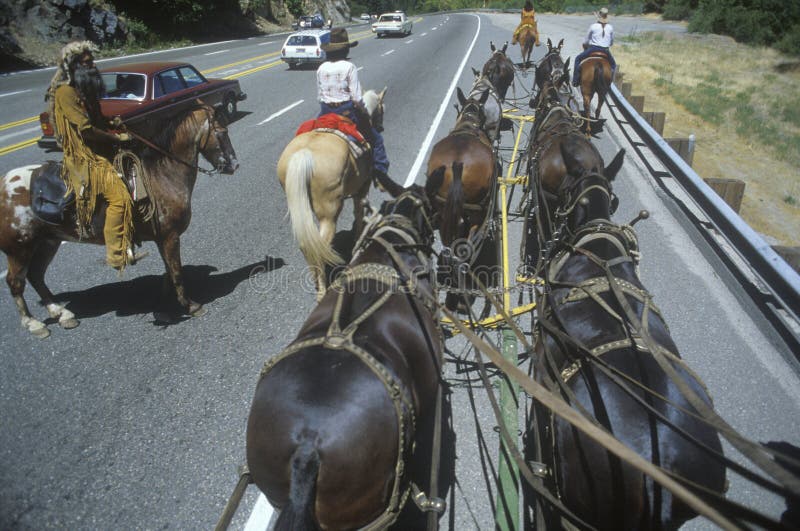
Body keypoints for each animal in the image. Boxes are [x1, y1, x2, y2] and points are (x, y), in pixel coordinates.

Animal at [0, 103, 238, 338]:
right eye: (222, 131)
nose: (234, 165)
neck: (162, 175)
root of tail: (3, 185)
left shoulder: (163, 238)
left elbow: (168, 272)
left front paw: (164, 307)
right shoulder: (170, 237)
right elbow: (176, 272)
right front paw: (190, 306)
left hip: (48, 242)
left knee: (36, 276)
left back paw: (62, 314)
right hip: (19, 249)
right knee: (15, 282)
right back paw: (34, 324)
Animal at [277, 88, 387, 300]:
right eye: (382, 110)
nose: (381, 127)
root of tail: (304, 154)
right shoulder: (362, 188)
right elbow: (359, 213)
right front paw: (358, 242)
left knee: (308, 244)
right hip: (329, 212)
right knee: (320, 246)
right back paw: (323, 291)